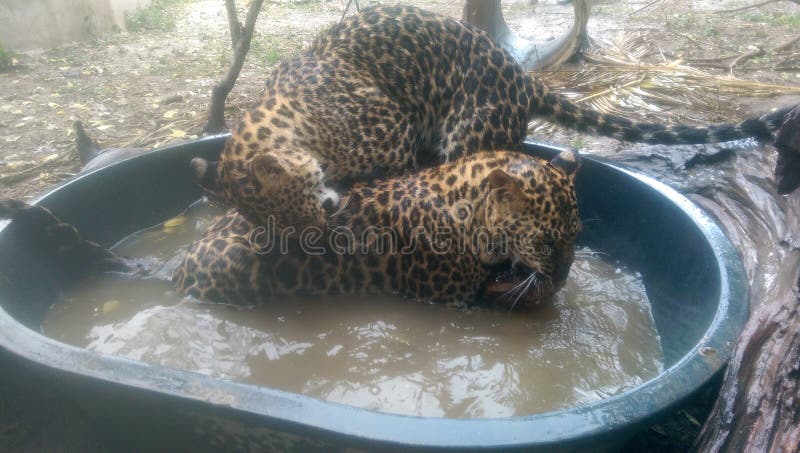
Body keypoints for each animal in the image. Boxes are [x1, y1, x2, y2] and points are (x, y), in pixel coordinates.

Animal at [175, 148, 580, 308]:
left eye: (576, 236)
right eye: (545, 242)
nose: (563, 277)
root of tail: (178, 269)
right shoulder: (452, 298)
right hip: (240, 260)